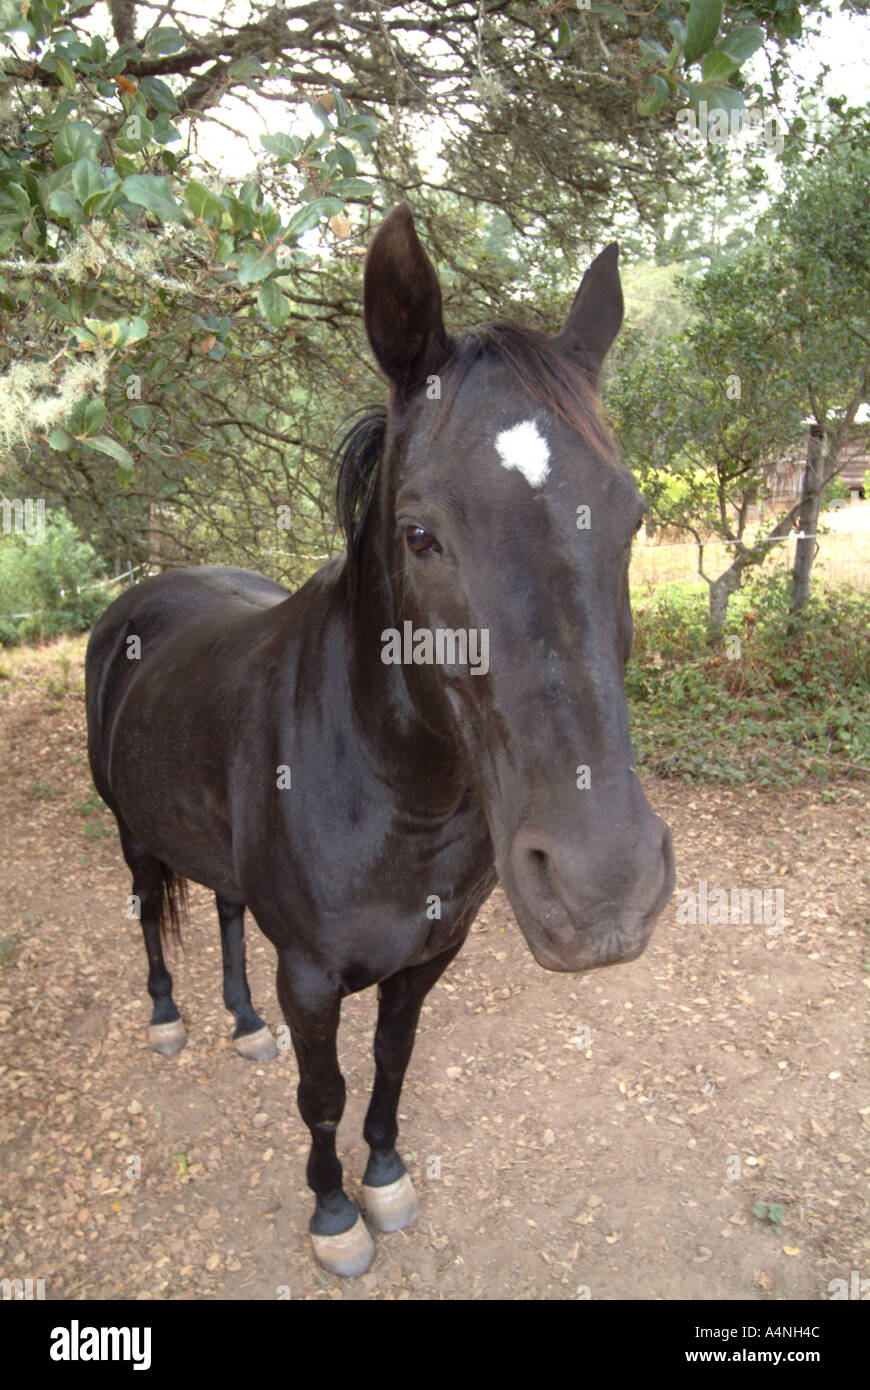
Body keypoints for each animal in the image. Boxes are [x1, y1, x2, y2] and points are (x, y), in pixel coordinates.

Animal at [85, 204, 675, 1277]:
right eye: (418, 534)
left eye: (632, 515)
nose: (603, 886)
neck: (395, 795)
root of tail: (141, 600)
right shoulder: (313, 977)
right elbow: (322, 1097)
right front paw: (333, 1214)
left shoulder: (428, 958)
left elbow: (392, 1066)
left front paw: (388, 1178)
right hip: (131, 834)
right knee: (151, 910)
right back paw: (168, 1018)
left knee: (222, 912)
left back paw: (241, 1023)